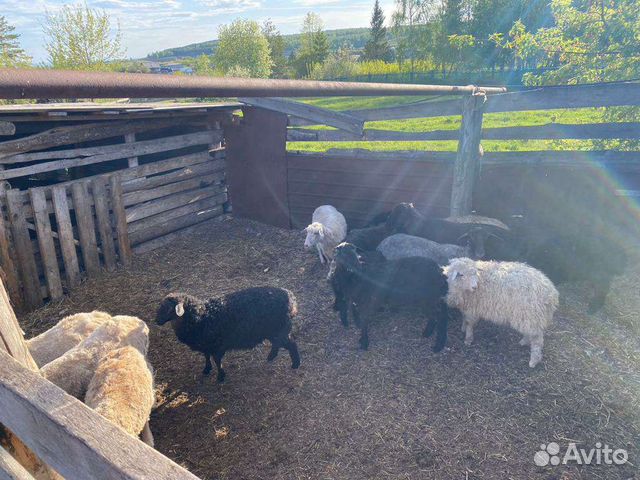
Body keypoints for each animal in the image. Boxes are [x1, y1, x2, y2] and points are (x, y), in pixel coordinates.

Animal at [156, 287, 300, 382]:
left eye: (167, 308)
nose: (156, 321)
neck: (202, 317)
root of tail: (291, 300)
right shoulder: (206, 345)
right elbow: (206, 356)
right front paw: (207, 369)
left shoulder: (217, 346)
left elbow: (217, 361)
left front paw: (220, 376)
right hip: (273, 331)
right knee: (278, 343)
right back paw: (271, 357)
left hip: (278, 329)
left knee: (291, 343)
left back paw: (295, 364)